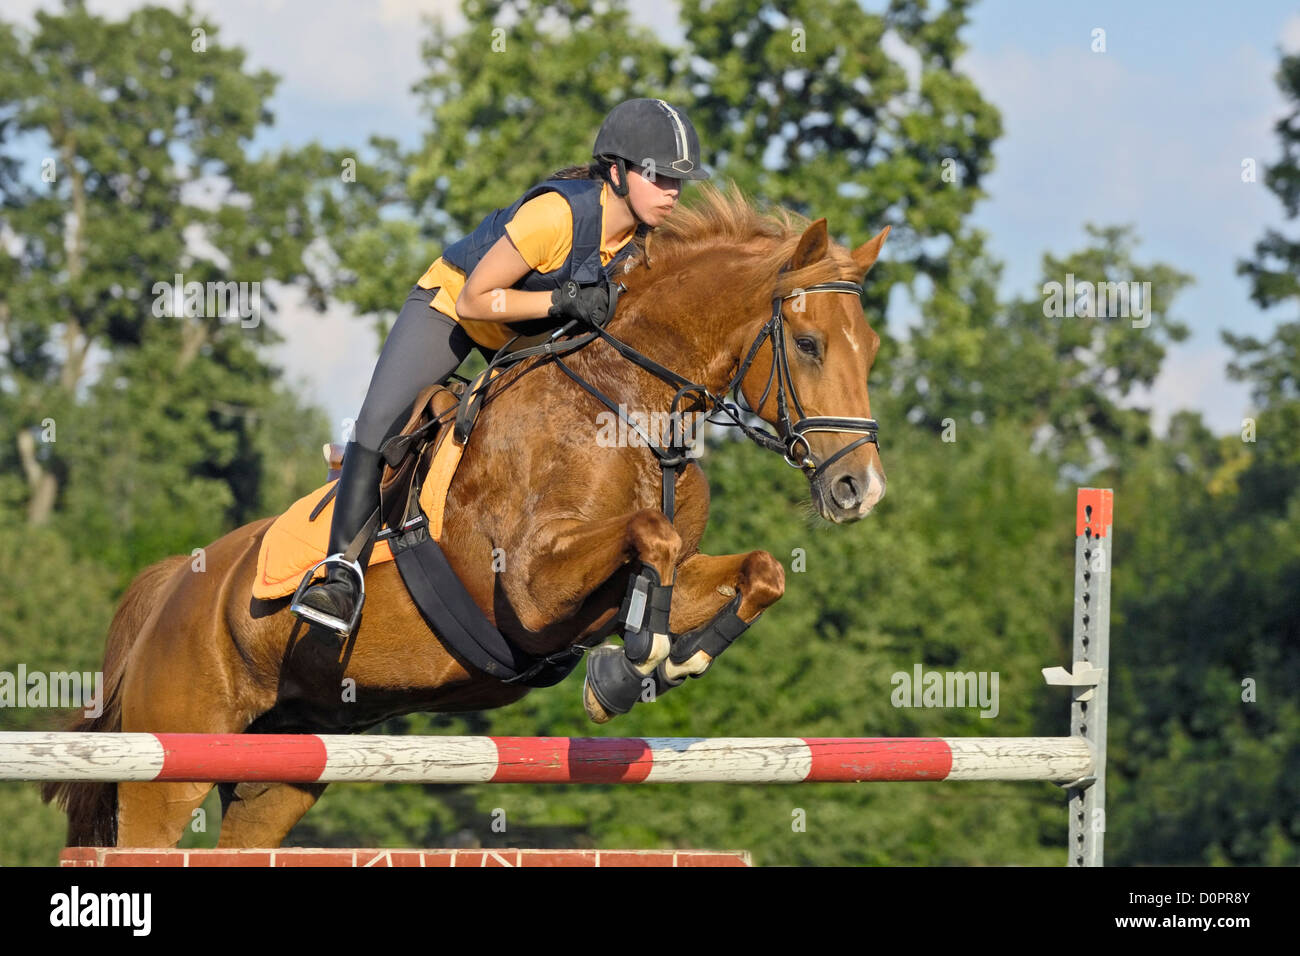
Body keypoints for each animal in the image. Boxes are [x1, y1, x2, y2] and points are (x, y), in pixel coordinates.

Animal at [42, 183, 890, 848]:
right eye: (809, 344)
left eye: (873, 349)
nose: (862, 490)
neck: (626, 405)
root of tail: (170, 586)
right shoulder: (532, 588)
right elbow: (652, 539)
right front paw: (634, 661)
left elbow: (756, 572)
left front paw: (645, 667)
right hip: (168, 766)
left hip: (276, 778)